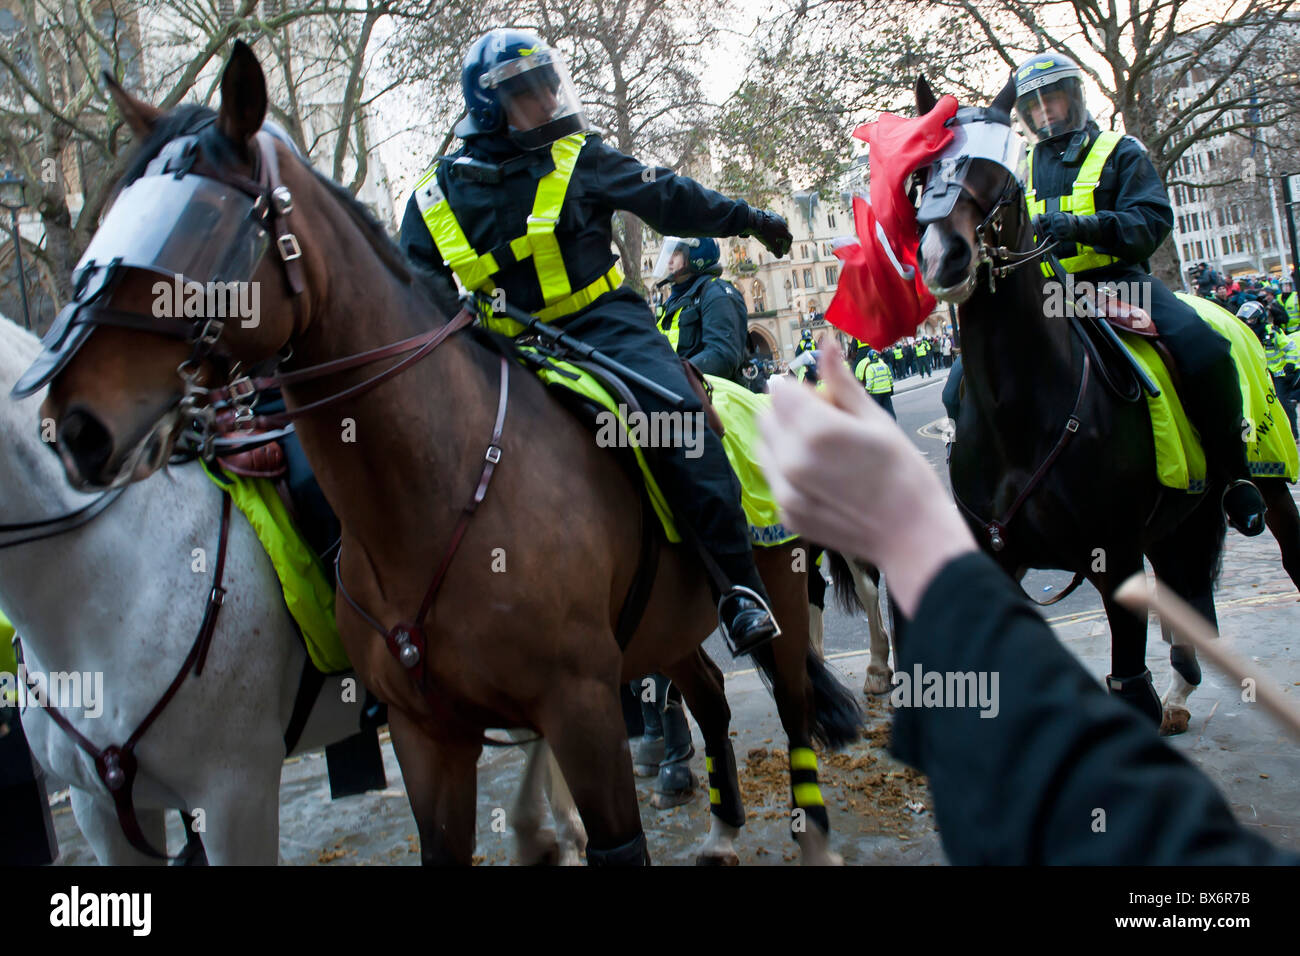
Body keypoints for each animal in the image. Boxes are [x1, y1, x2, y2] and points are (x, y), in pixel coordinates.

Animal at [912, 76, 1300, 734]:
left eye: (1000, 169)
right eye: (922, 171)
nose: (945, 258)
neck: (1022, 417)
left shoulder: (1114, 561)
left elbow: (1130, 687)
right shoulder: (1002, 560)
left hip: (1268, 484)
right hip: (1179, 516)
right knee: (1187, 585)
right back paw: (1183, 685)